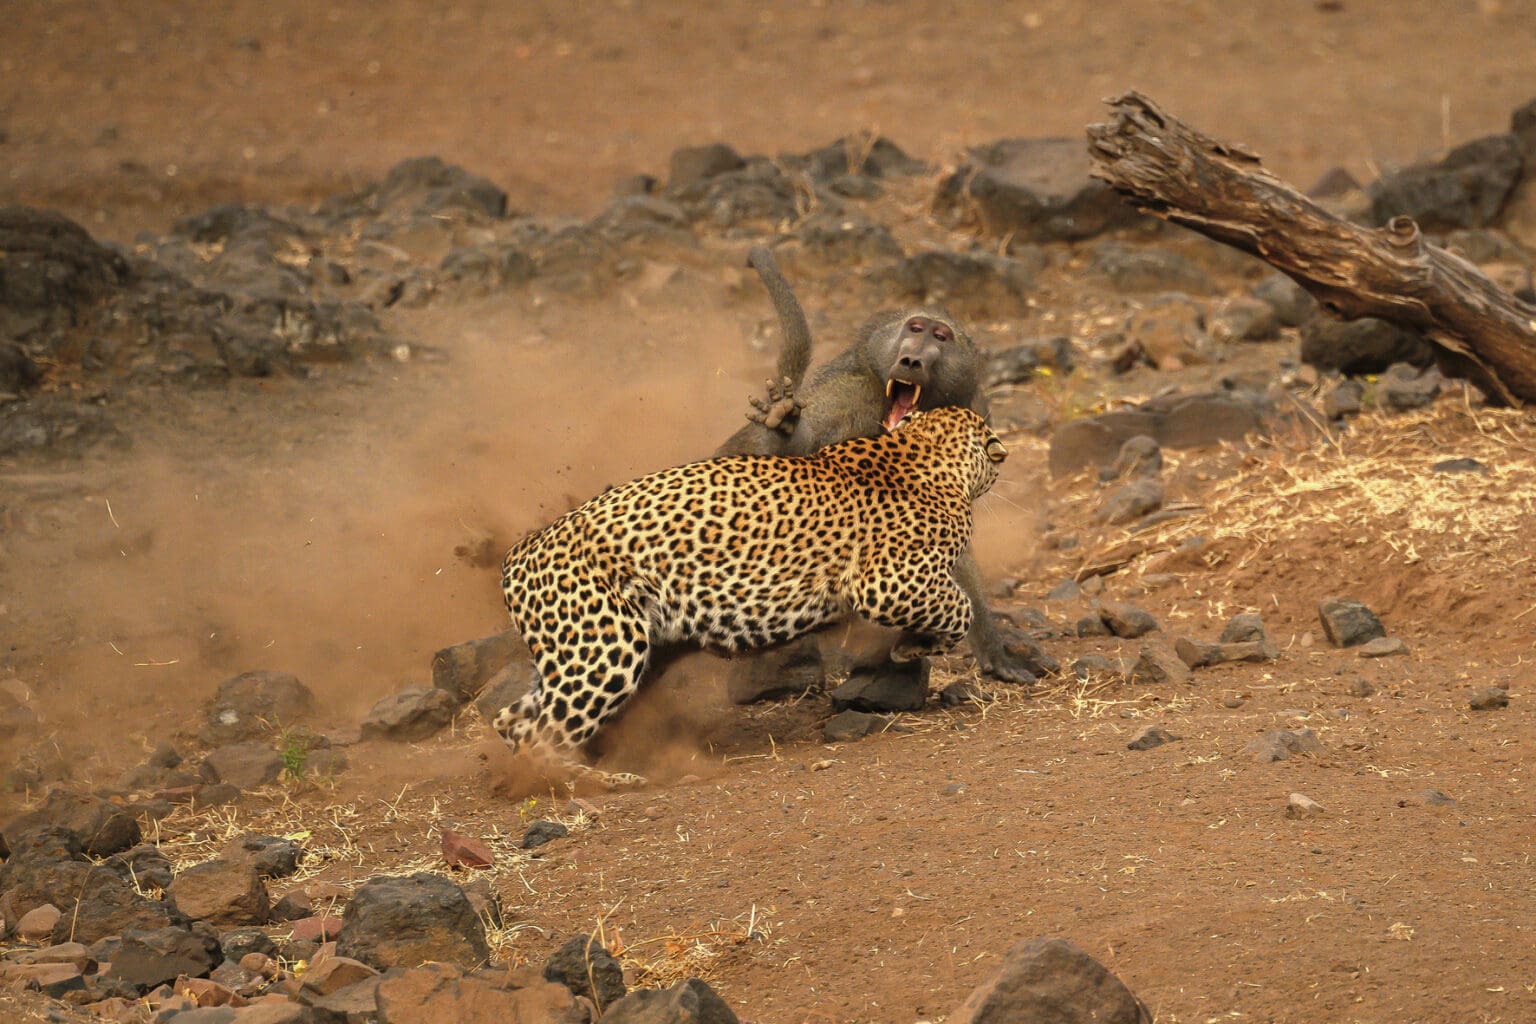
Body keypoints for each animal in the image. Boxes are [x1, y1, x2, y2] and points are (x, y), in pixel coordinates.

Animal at [492, 405, 1007, 784]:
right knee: (539, 736)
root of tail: (517, 553)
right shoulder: (892, 582)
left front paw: (908, 647)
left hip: (576, 651)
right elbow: (958, 610)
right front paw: (911, 647)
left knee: (510, 720)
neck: (918, 449)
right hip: (605, 648)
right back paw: (603, 781)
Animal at [716, 246, 1037, 684]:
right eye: (915, 328)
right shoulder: (847, 395)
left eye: (940, 337)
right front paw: (783, 424)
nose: (912, 360)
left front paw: (992, 650)